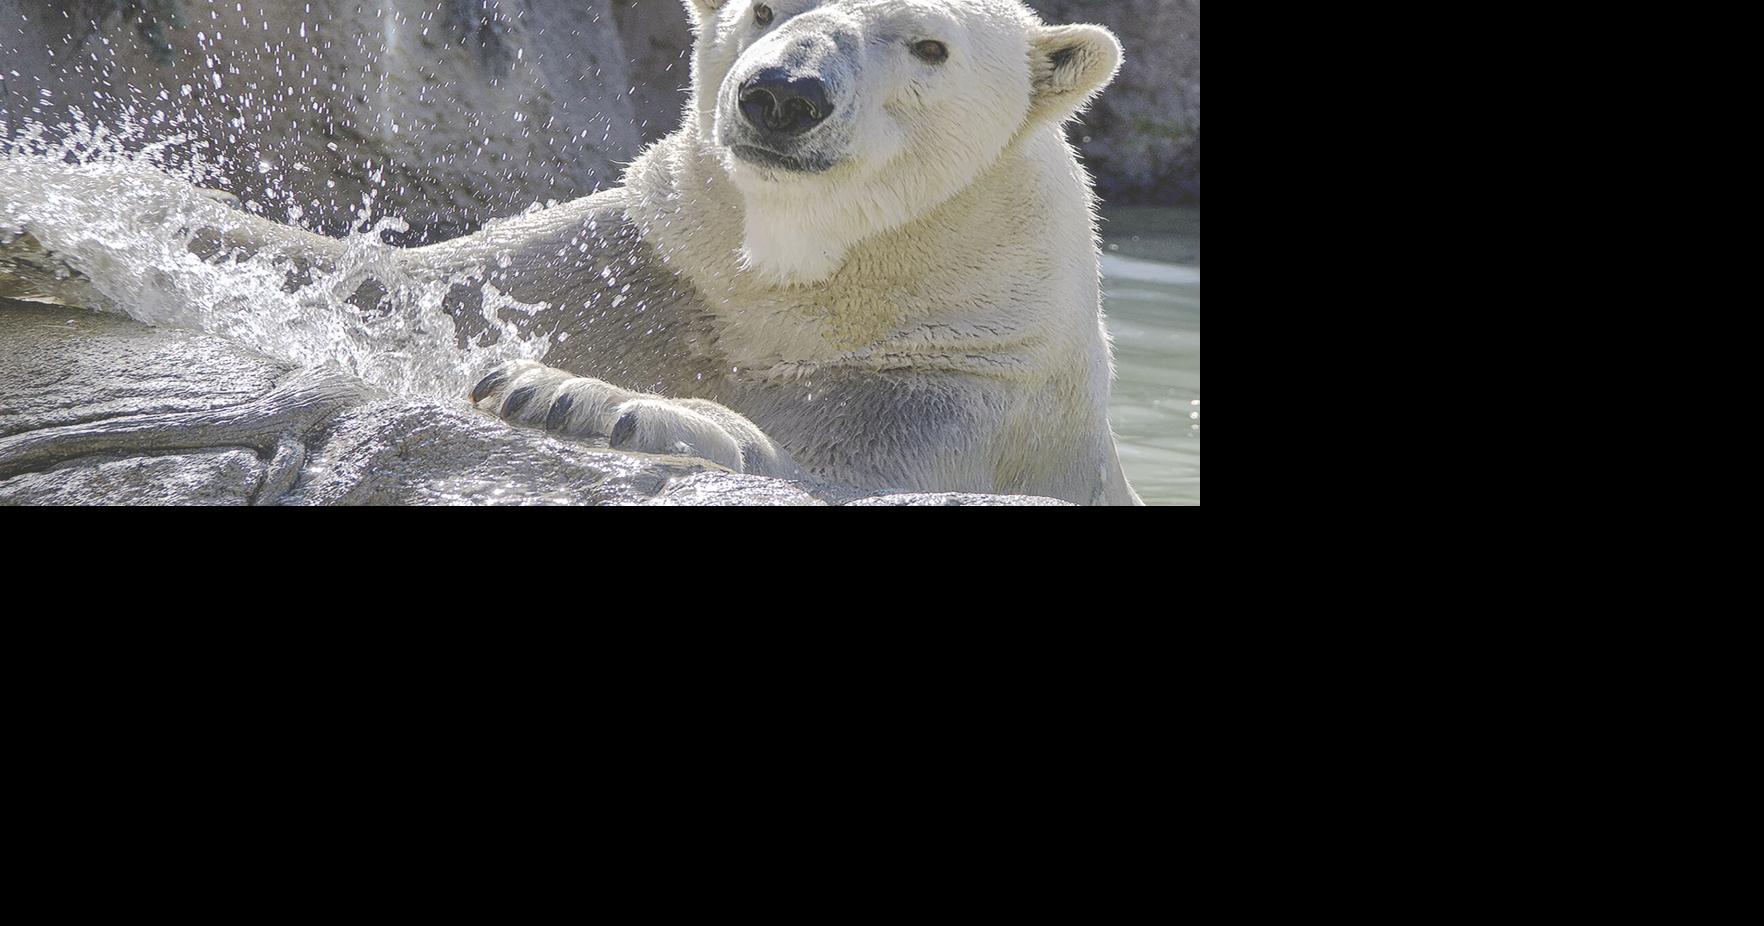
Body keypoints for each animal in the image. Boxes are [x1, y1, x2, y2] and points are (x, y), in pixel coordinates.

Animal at [1, 0, 1143, 505]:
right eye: (764, 8)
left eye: (930, 44)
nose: (782, 93)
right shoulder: (651, 258)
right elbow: (396, 283)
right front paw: (59, 219)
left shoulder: (965, 391)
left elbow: (818, 465)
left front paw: (566, 395)